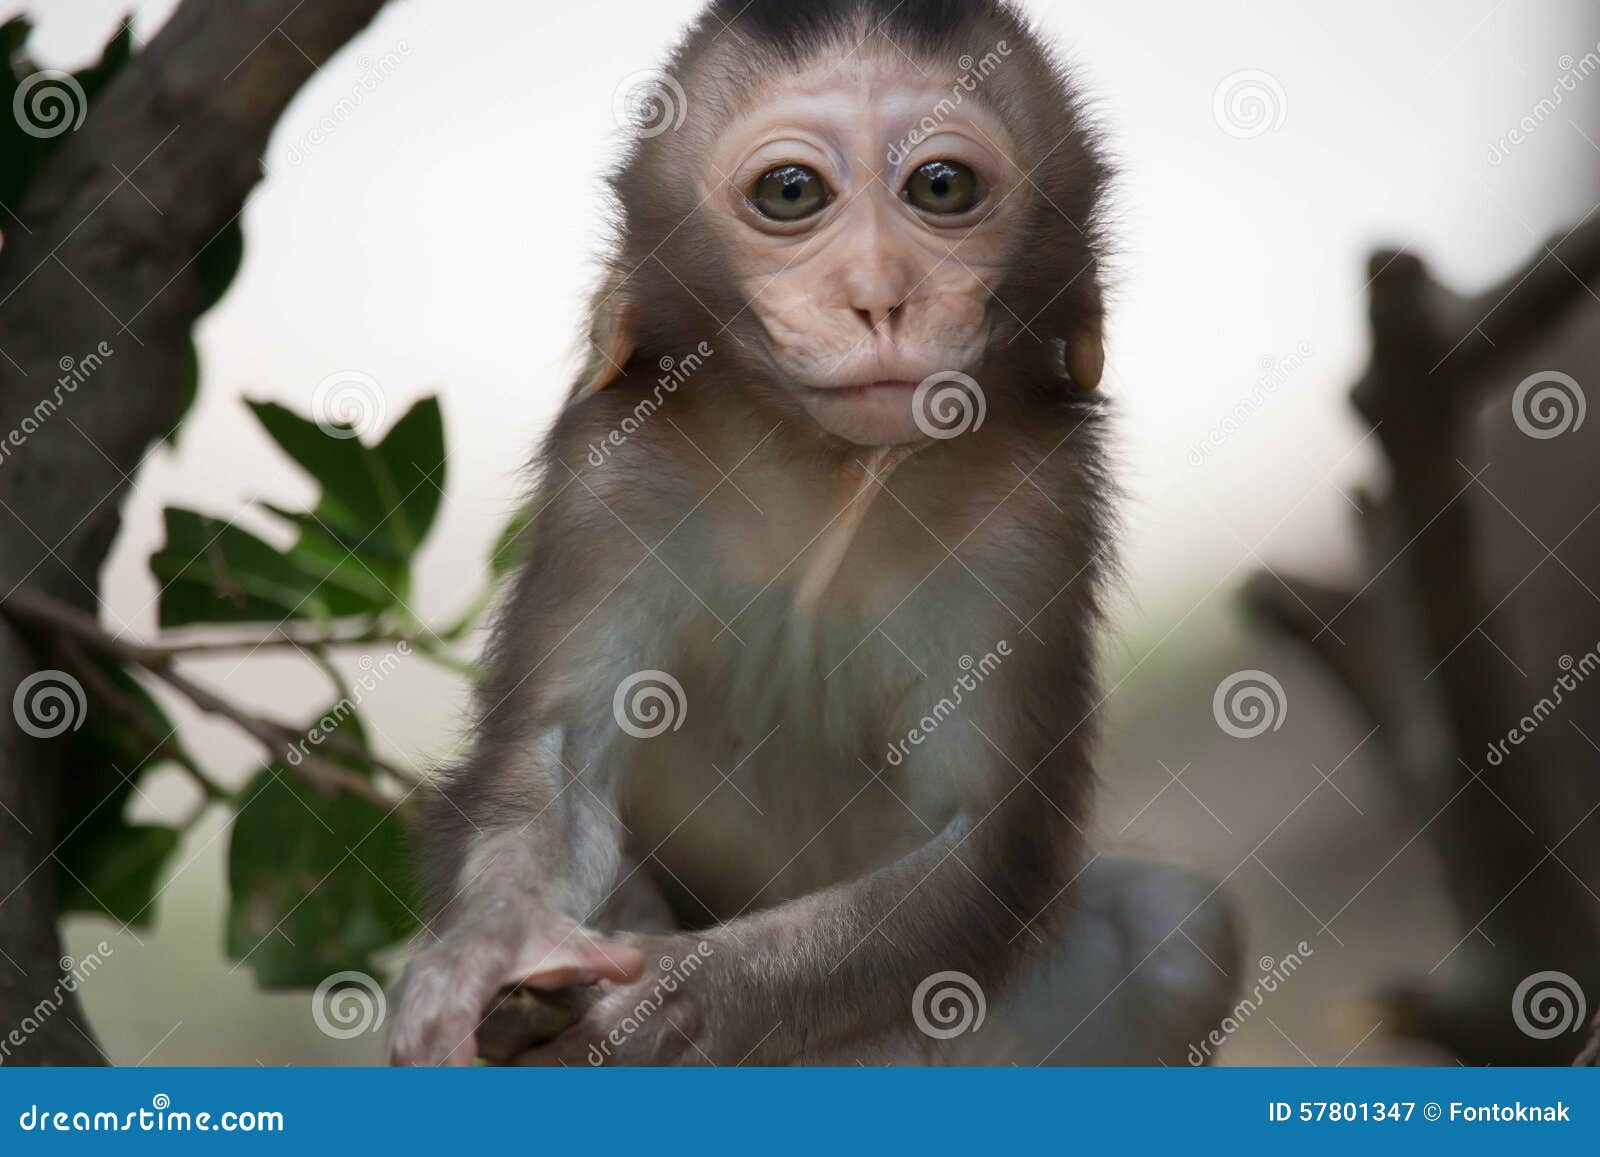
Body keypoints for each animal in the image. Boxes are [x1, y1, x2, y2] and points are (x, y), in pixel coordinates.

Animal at [391, 0, 1238, 1067]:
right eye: (791, 192)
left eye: (943, 186)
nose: (879, 294)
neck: (828, 468)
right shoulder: (611, 474)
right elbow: (556, 751)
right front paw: (491, 954)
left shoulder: (1041, 508)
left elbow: (982, 844)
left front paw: (663, 1003)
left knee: (1183, 937)